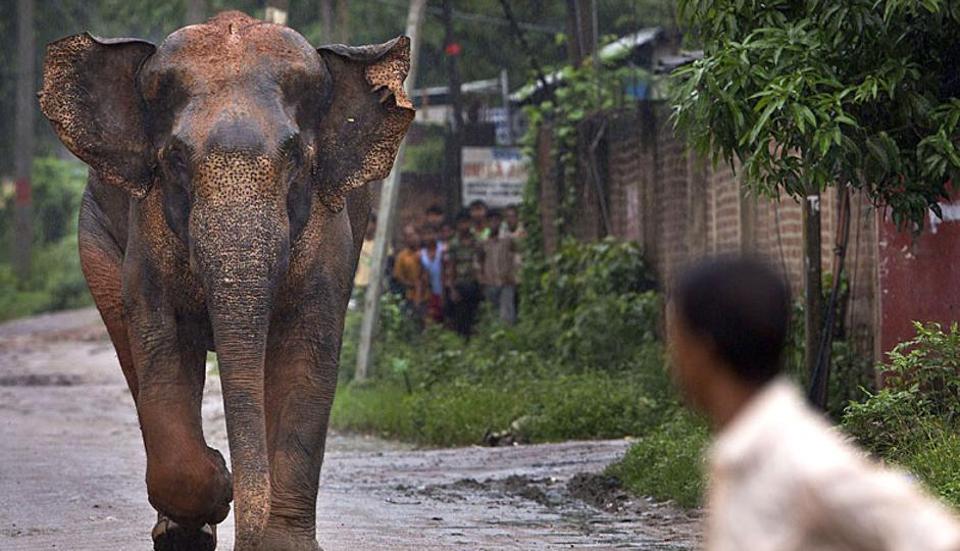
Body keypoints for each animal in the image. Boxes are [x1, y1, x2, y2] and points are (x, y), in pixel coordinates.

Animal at [38, 11, 413, 551]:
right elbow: (162, 344)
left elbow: (305, 355)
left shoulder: (330, 231)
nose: (246, 536)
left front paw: (283, 545)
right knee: (133, 351)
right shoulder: (147, 225)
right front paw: (218, 486)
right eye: (175, 159)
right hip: (96, 236)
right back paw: (181, 529)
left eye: (295, 160)